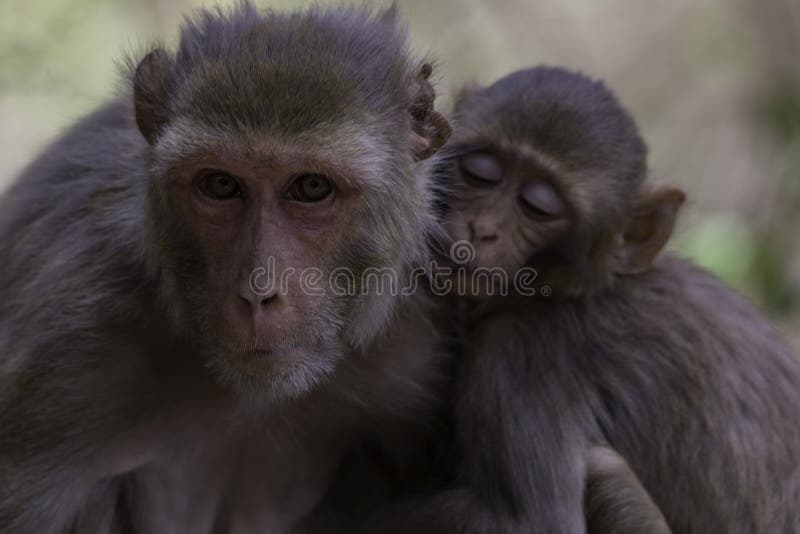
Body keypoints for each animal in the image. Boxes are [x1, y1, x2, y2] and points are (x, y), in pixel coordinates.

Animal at [367, 66, 800, 534]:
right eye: (481, 173)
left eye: (538, 207)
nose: (481, 229)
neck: (568, 289)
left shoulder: (527, 352)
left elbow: (529, 520)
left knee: (604, 471)